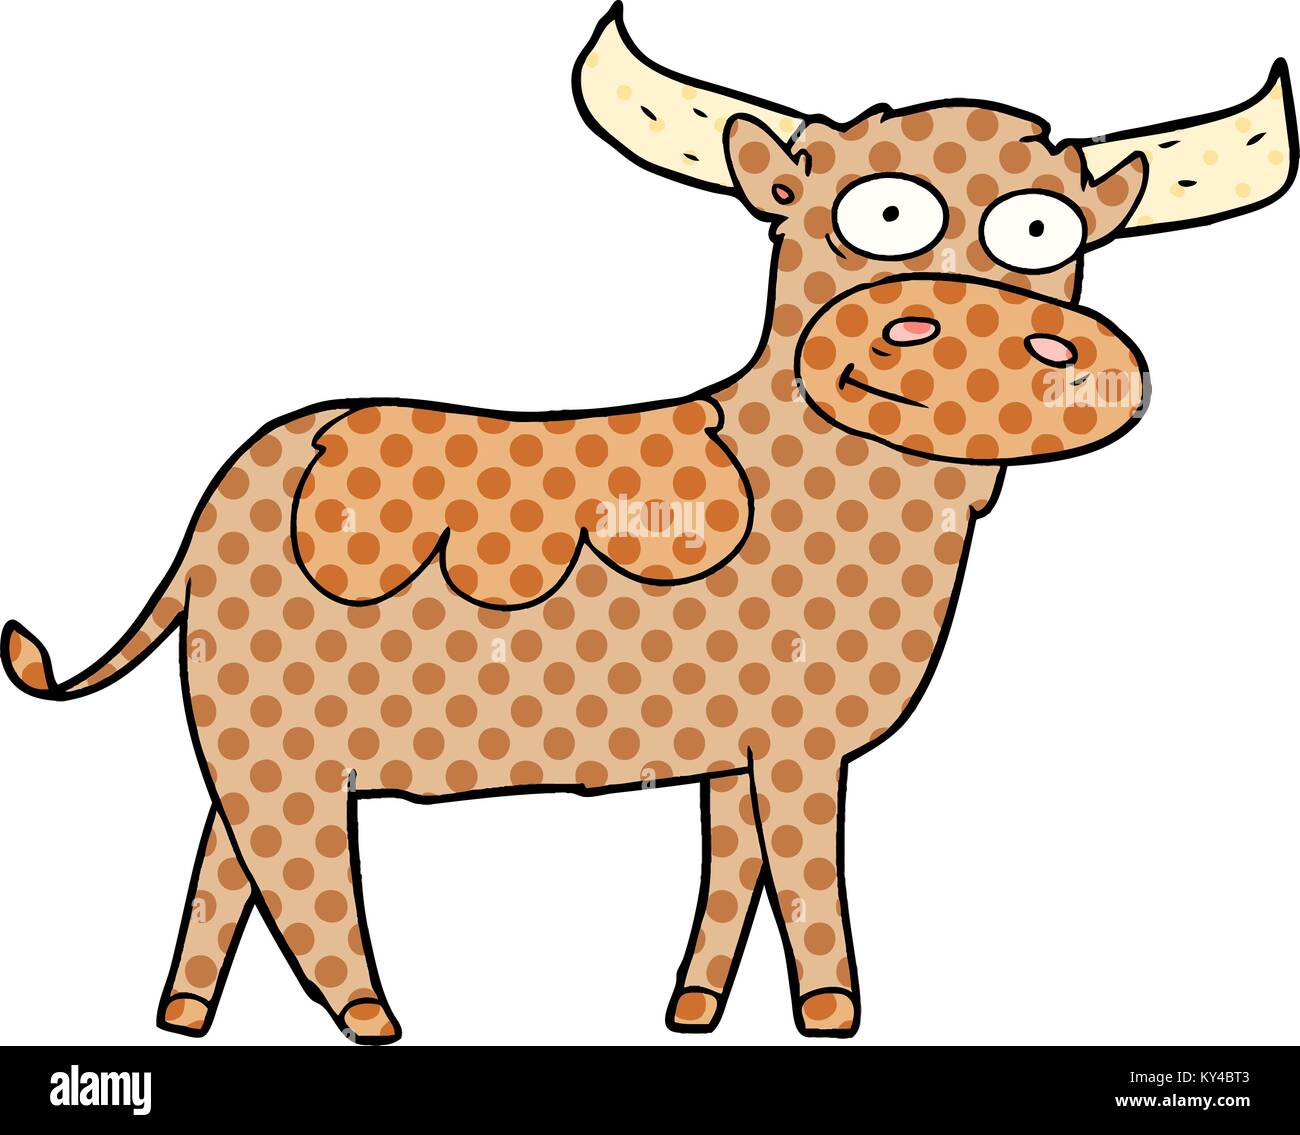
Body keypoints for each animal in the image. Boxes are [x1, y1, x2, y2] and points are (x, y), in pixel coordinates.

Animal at [4, 4, 1295, 1042]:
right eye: (875, 212)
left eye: (1041, 234)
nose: (965, 328)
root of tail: (227, 488)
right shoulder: (799, 744)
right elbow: (804, 872)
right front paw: (834, 1014)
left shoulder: (740, 740)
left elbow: (734, 865)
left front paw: (692, 1011)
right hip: (282, 733)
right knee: (298, 869)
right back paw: (374, 1019)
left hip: (266, 734)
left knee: (222, 858)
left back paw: (183, 1015)